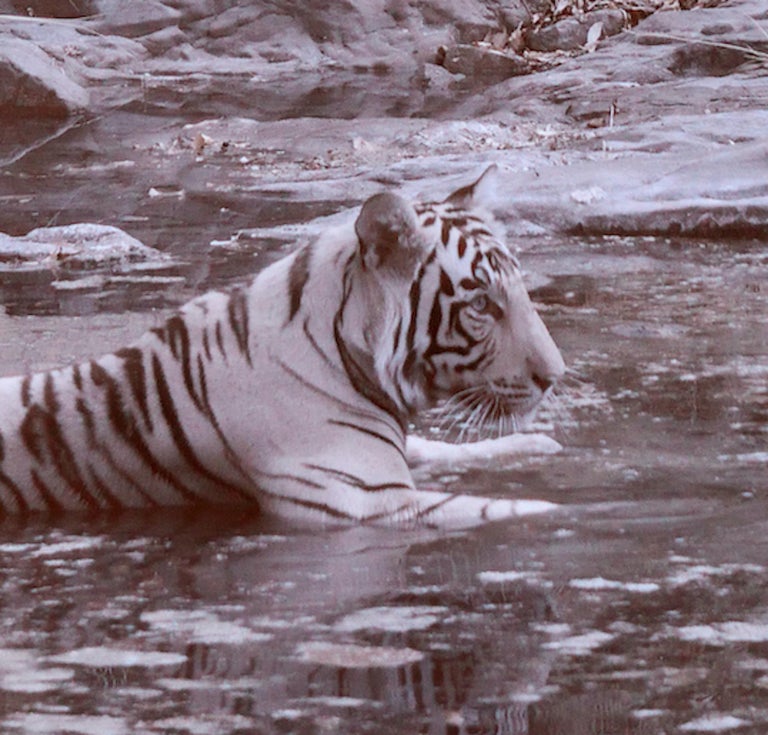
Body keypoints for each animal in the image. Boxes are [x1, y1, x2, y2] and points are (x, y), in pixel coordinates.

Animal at [0, 167, 565, 529]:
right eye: (481, 304)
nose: (554, 376)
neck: (347, 356)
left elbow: (441, 447)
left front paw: (539, 445)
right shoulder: (359, 500)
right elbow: (508, 509)